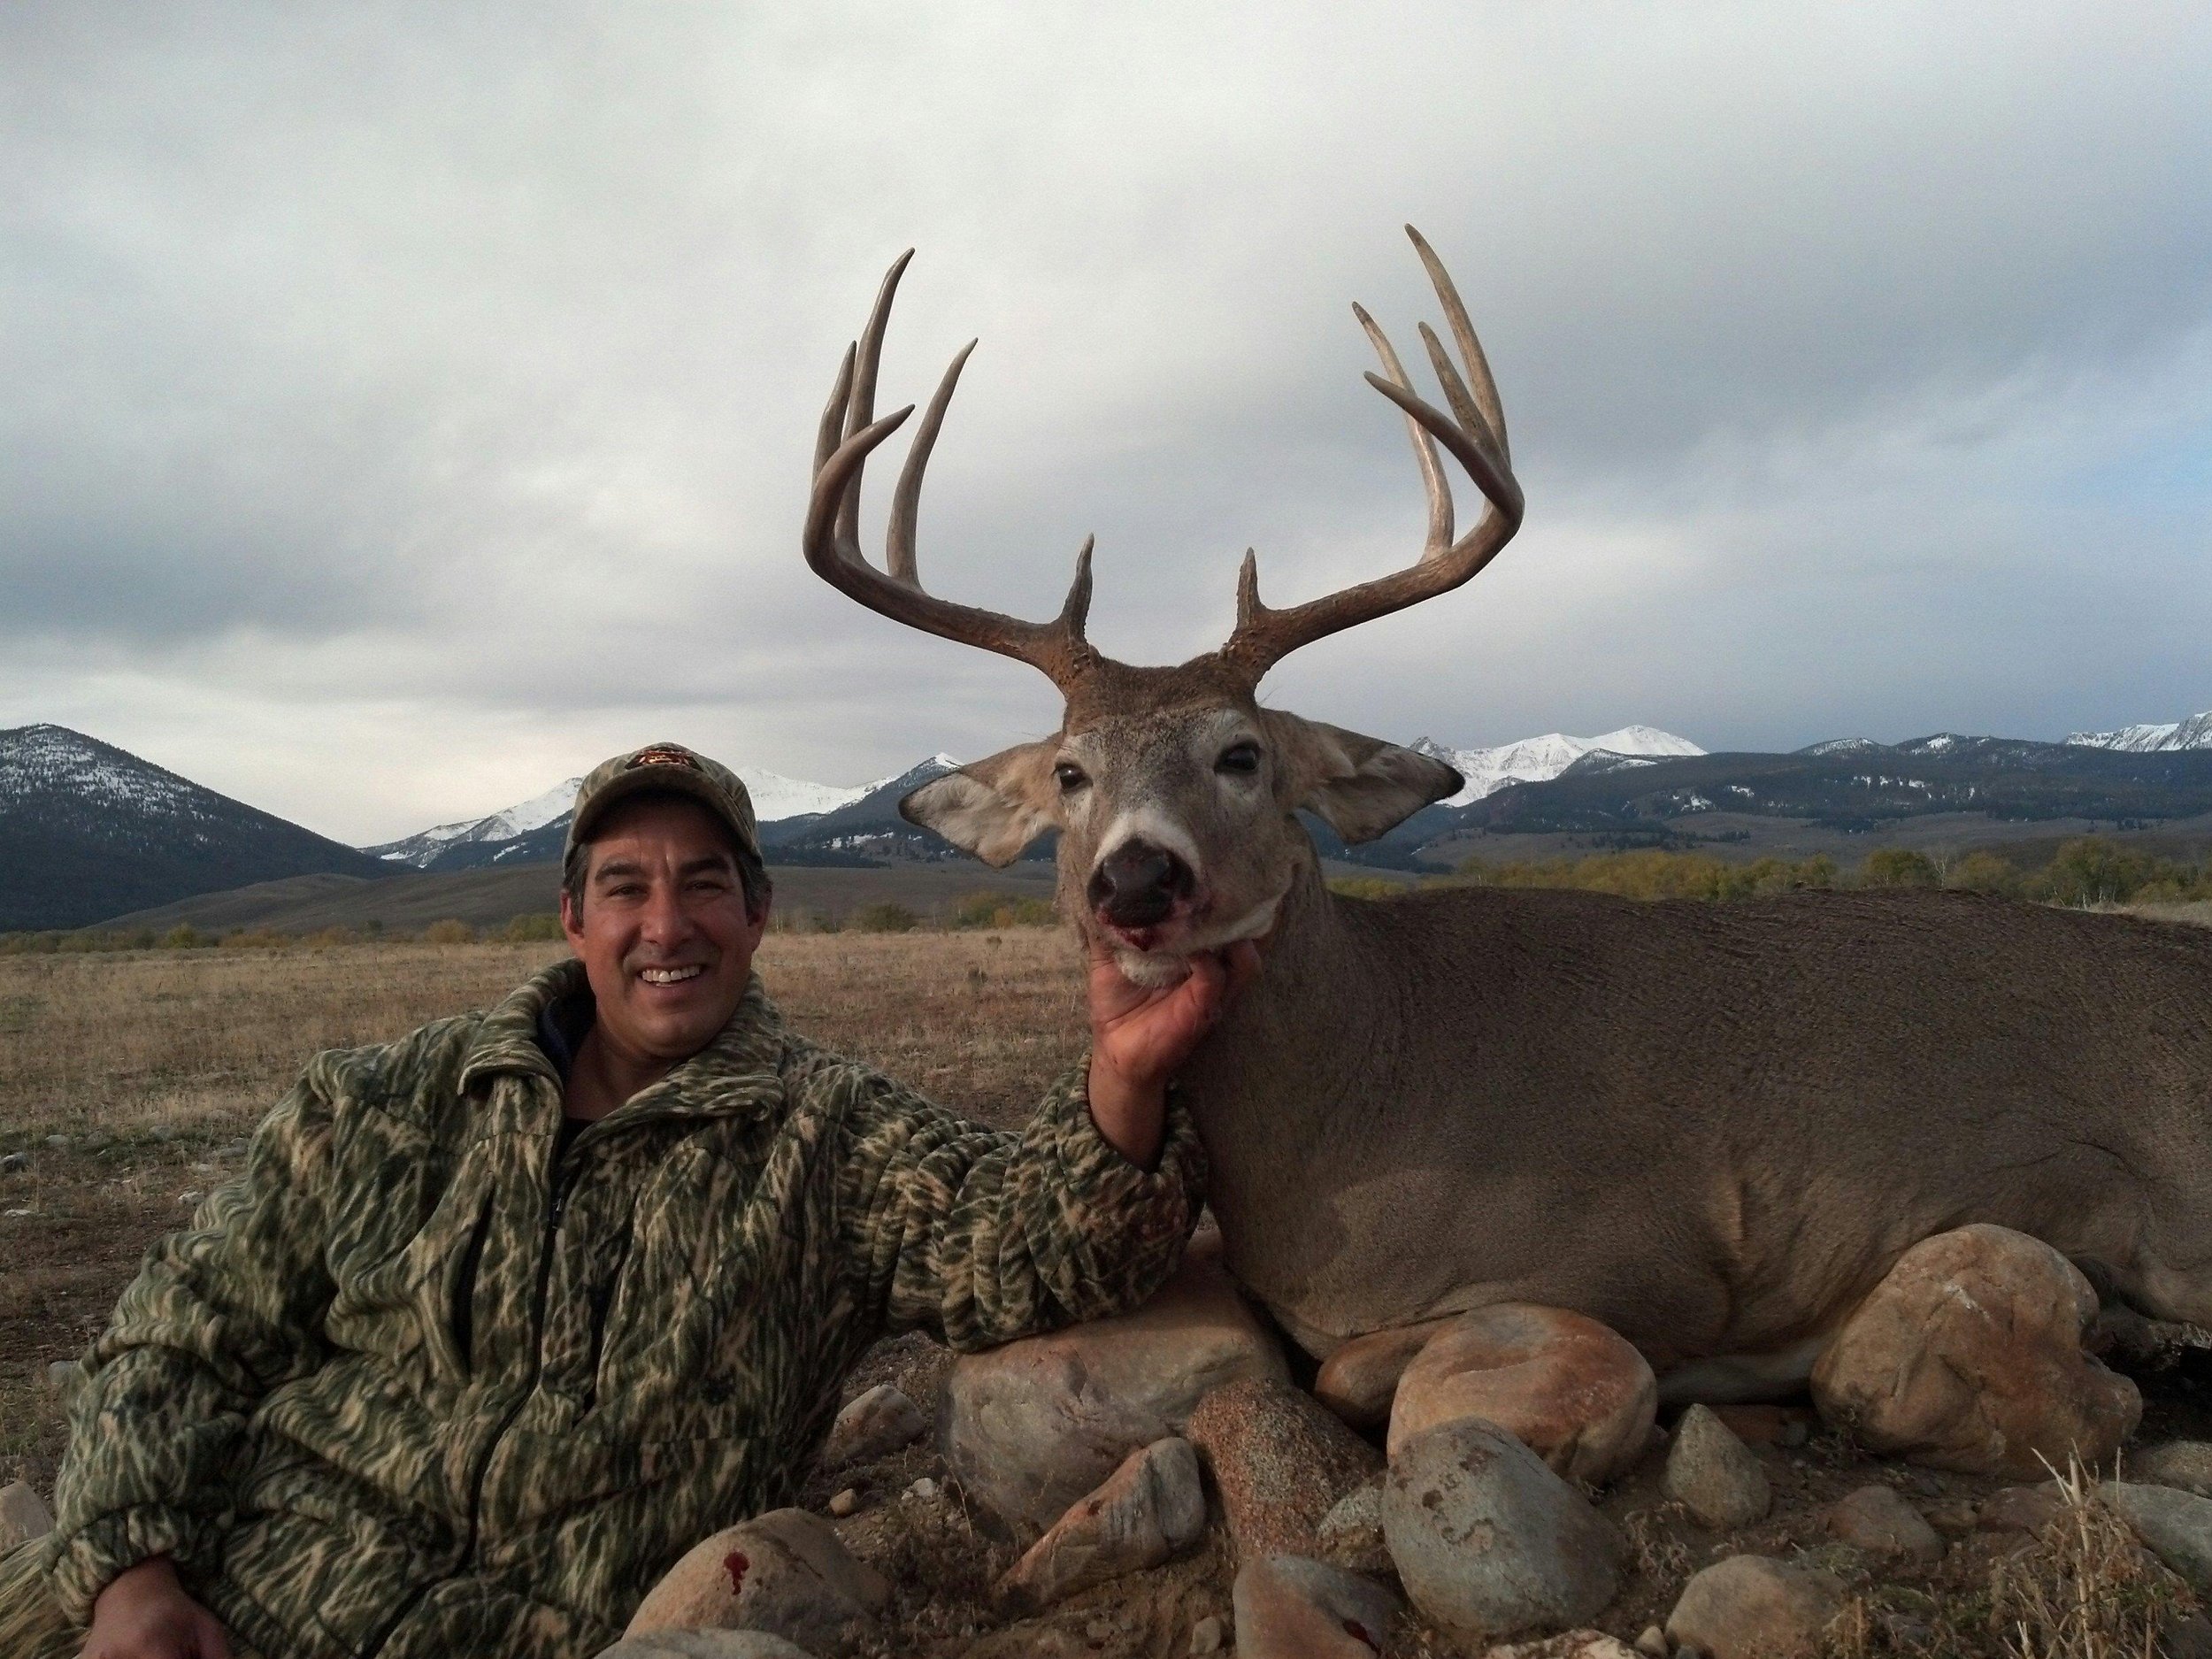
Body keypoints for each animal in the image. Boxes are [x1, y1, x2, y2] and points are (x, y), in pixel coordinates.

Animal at [799, 229, 2212, 1410]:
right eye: (1070, 774)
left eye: (1243, 754)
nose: (1136, 882)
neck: (1353, 1124)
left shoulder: (1646, 1255)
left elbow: (1354, 1371)